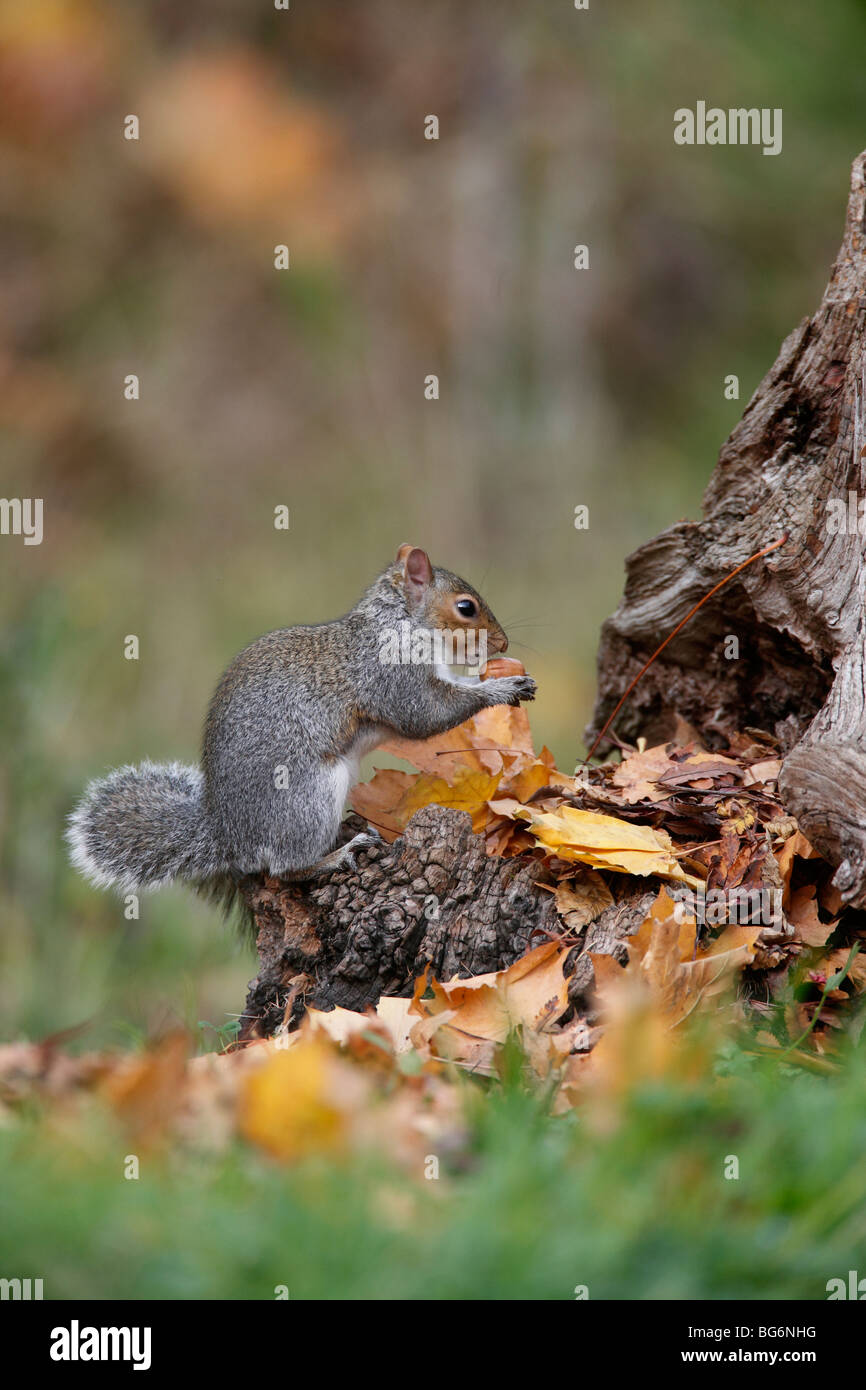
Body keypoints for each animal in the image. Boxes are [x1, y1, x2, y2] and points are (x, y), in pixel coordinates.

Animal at [67, 545, 536, 905]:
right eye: (465, 608)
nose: (503, 643)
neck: (400, 621)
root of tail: (228, 834)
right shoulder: (391, 674)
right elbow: (426, 714)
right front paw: (502, 688)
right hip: (309, 797)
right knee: (284, 868)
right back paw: (337, 855)